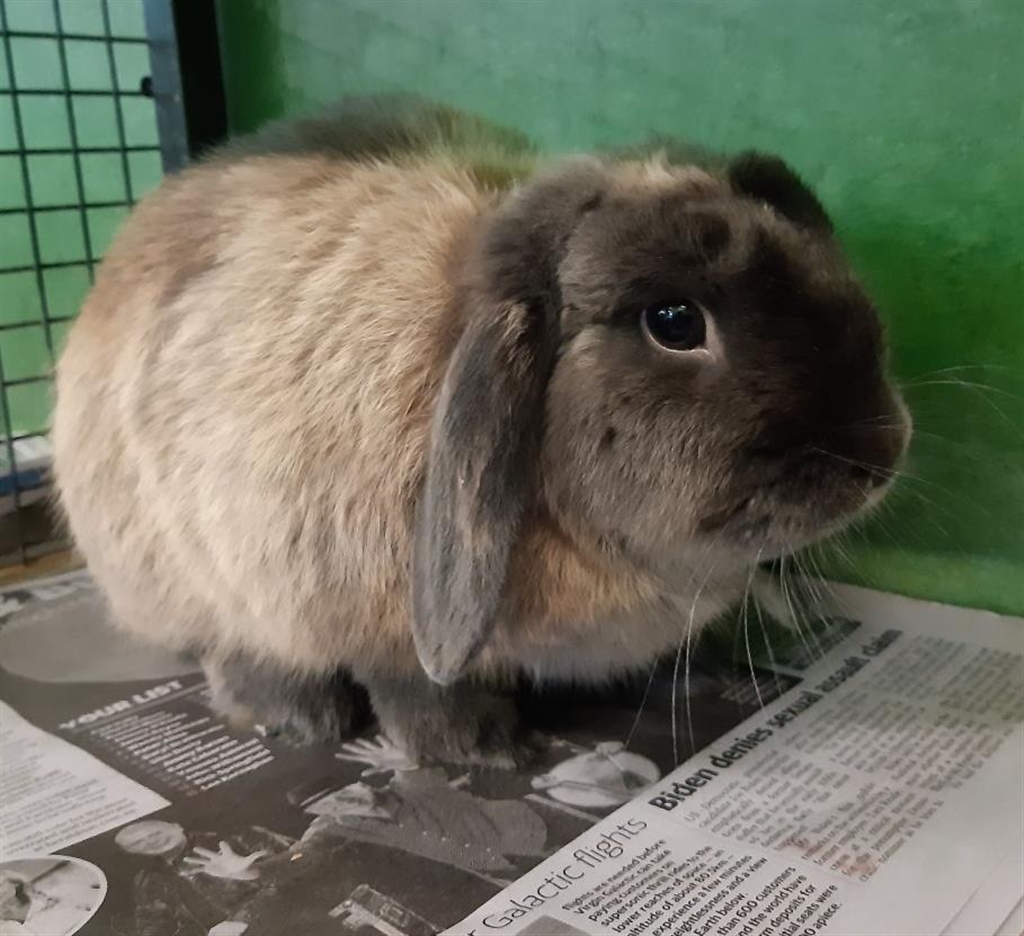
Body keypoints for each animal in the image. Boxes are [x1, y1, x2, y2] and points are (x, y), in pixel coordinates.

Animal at [52, 96, 911, 766]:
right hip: (189, 575)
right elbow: (413, 683)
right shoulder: (371, 610)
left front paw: (704, 666)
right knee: (232, 643)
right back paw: (295, 716)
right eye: (674, 322)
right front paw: (478, 748)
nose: (881, 453)